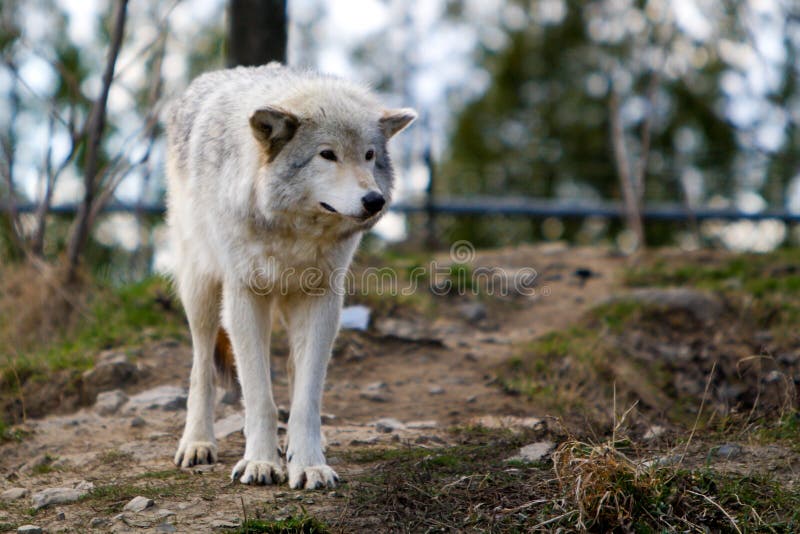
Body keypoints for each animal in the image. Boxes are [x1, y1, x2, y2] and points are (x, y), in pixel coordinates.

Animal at [165, 63, 415, 489]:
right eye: (327, 155)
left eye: (369, 156)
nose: (375, 201)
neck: (293, 233)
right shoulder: (245, 297)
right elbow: (258, 397)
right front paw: (260, 463)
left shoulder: (323, 299)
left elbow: (307, 398)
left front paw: (309, 463)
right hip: (201, 291)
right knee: (201, 368)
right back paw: (197, 443)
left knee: (296, 374)